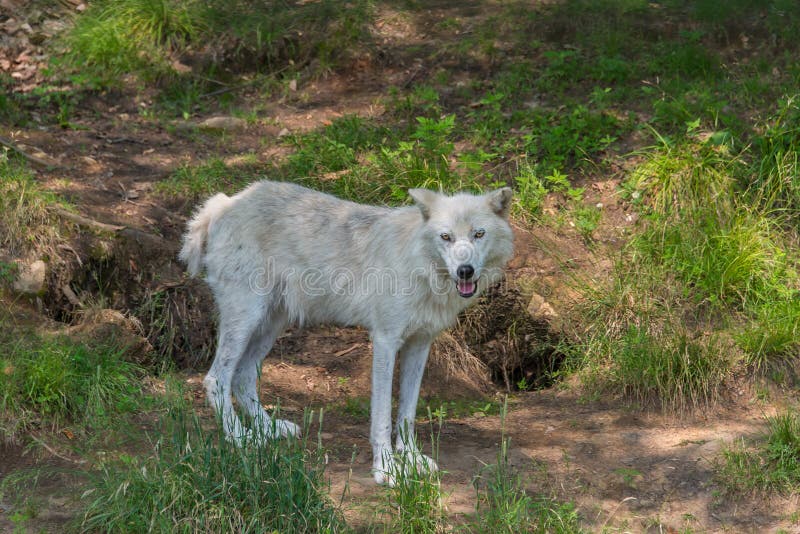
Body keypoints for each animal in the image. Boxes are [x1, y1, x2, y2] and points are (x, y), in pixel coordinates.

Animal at [180, 180, 513, 484]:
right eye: (446, 237)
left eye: (479, 234)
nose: (465, 271)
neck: (420, 266)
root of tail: (224, 202)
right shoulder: (385, 341)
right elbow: (382, 416)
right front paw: (386, 469)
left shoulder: (420, 343)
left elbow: (407, 413)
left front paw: (412, 459)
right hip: (246, 319)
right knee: (217, 379)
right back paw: (240, 438)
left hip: (270, 324)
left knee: (243, 376)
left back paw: (269, 429)